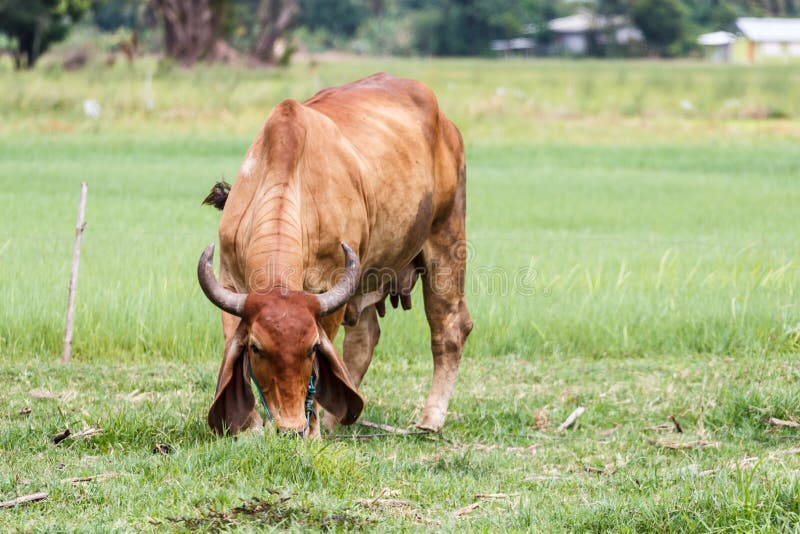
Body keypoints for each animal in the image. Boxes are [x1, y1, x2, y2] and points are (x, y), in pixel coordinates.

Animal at [197, 73, 472, 437]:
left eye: (312, 348)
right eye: (257, 348)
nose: (291, 426)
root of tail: (447, 126)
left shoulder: (328, 288)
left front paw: (311, 427)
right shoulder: (230, 280)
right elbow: (233, 345)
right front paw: (251, 425)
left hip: (446, 239)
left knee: (450, 329)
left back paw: (430, 419)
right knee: (363, 340)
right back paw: (334, 419)